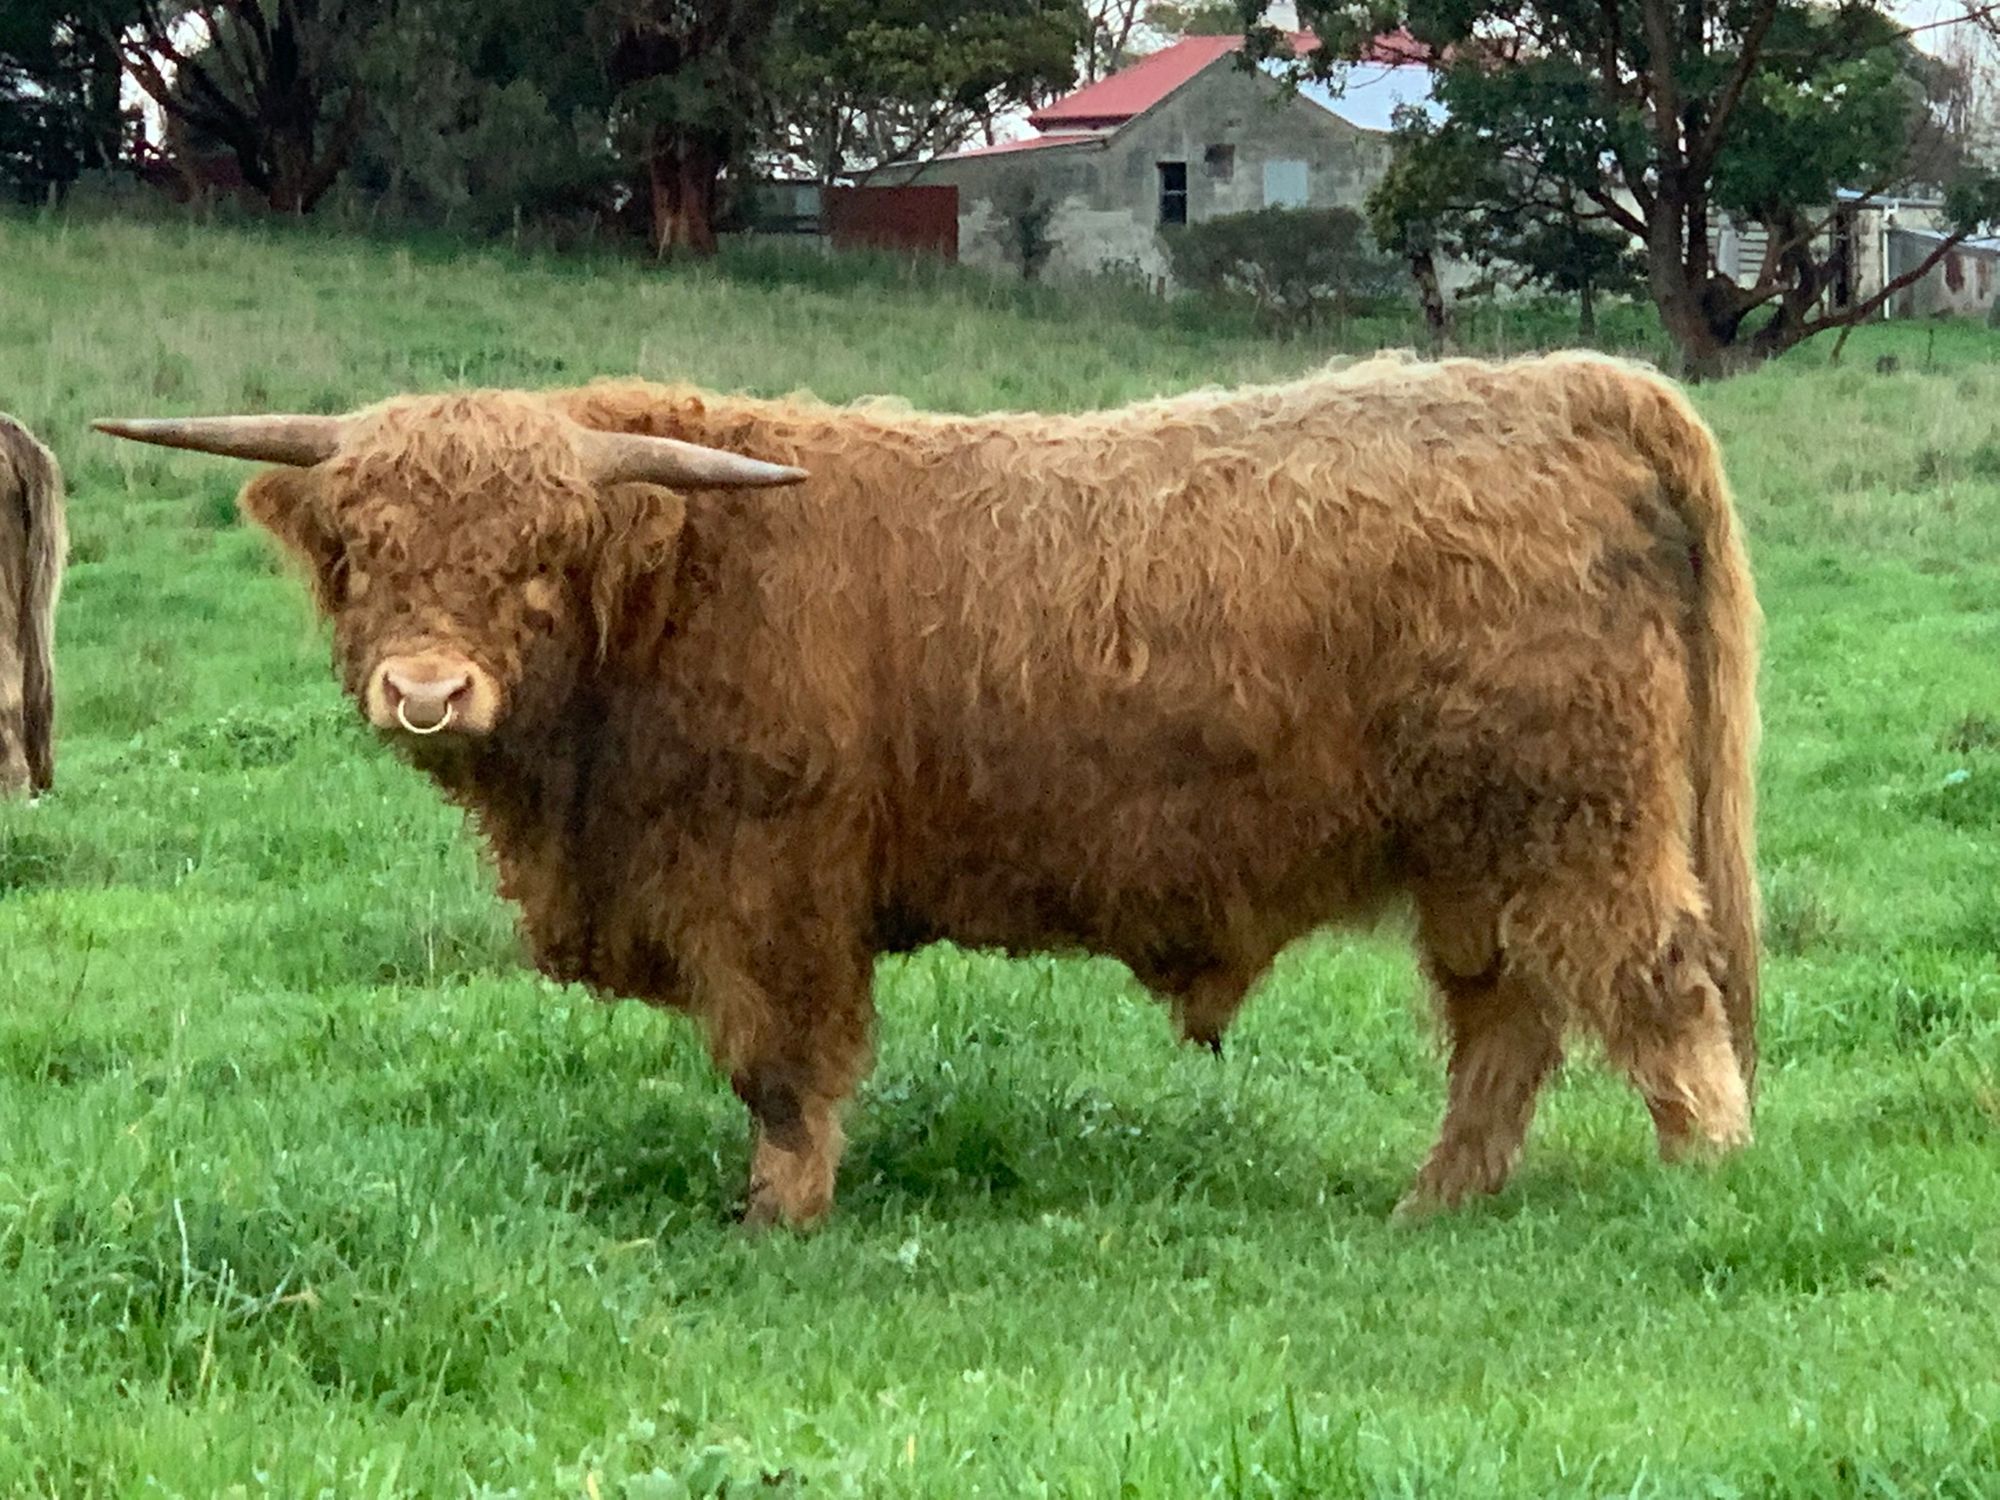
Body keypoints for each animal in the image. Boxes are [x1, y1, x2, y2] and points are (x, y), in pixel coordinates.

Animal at [97, 350, 1761, 1228]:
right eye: (364, 551)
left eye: (536, 558)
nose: (428, 693)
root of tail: (1562, 381)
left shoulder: (770, 889)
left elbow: (784, 1069)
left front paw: (778, 1222)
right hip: (1480, 852)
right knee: (1507, 1018)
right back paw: (1440, 1201)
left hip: (1579, 824)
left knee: (1654, 989)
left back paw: (1710, 1185)